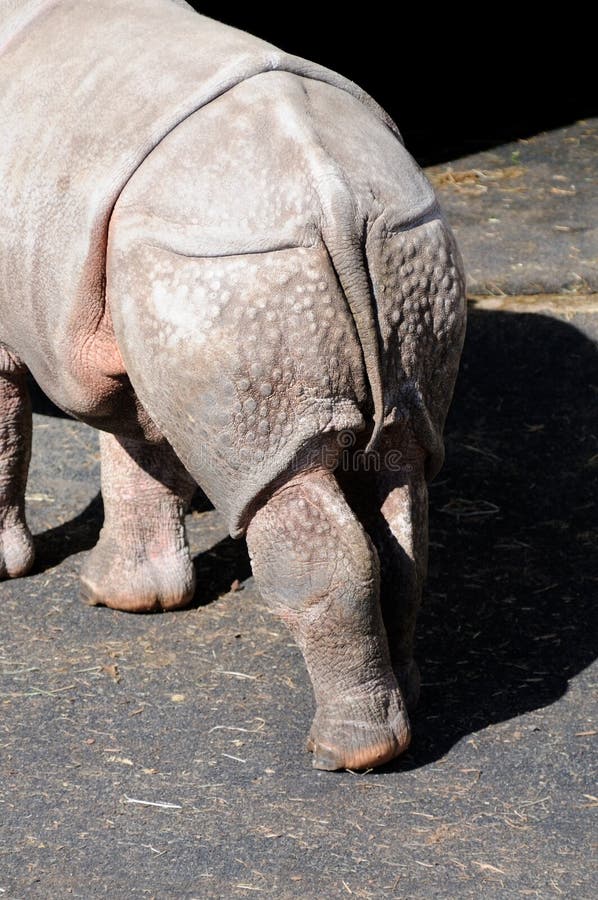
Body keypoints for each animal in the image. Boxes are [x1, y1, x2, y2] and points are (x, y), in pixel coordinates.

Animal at [0, 0, 466, 770]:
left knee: (281, 487)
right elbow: (139, 441)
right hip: (393, 245)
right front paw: (133, 599)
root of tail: (337, 201)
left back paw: (342, 757)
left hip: (238, 264)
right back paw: (407, 709)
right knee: (400, 469)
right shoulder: (137, 314)